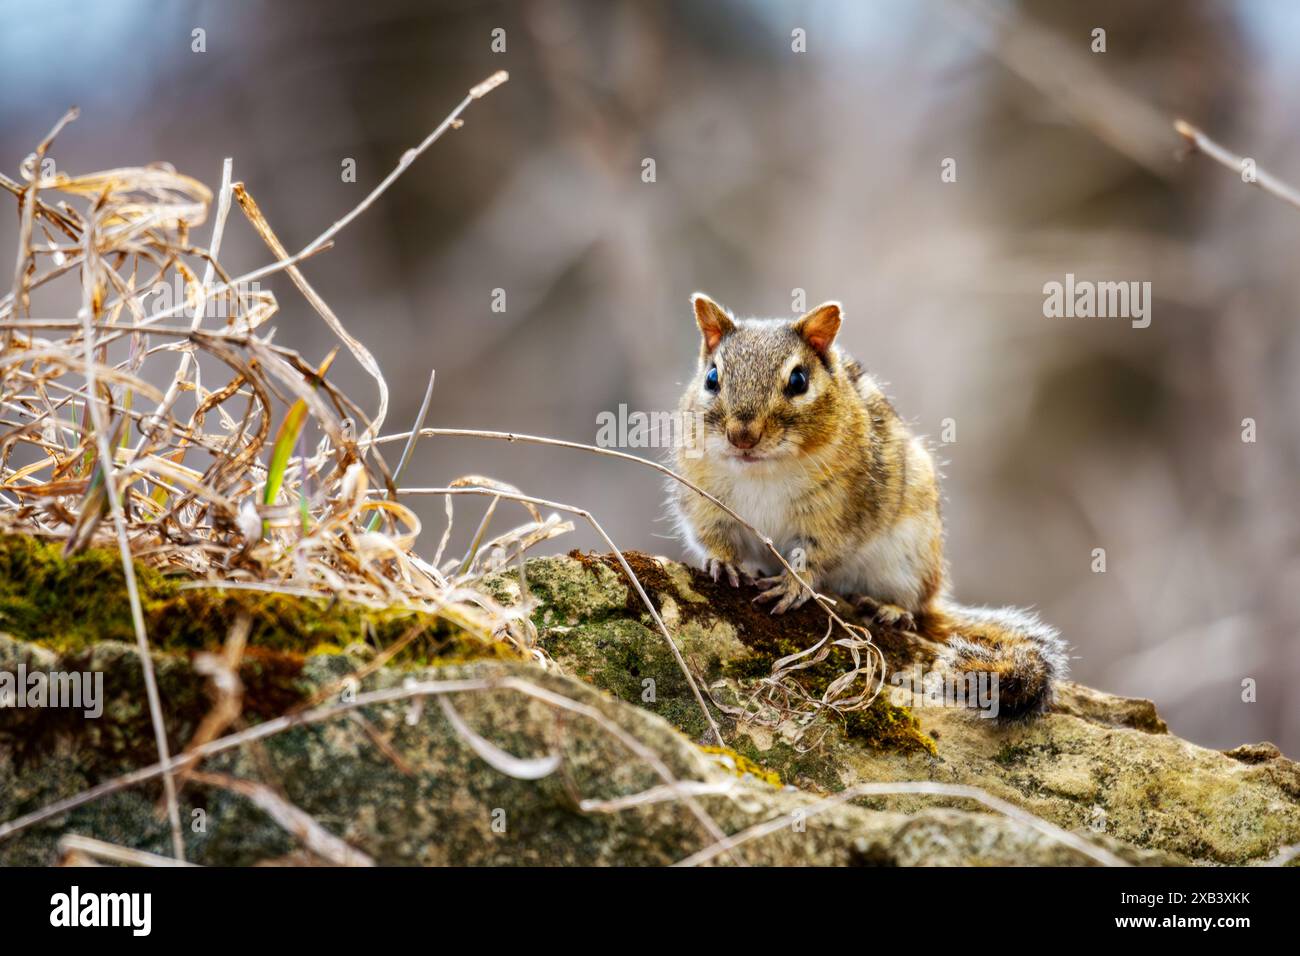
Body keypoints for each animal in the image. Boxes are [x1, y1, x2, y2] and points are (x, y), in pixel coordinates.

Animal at [668, 293, 1068, 718]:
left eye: (798, 380)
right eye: (712, 378)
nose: (742, 435)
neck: (762, 469)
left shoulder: (839, 514)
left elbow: (817, 554)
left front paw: (795, 583)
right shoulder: (703, 500)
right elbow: (713, 535)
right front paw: (723, 562)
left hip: (908, 559)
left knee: (914, 609)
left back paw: (890, 609)